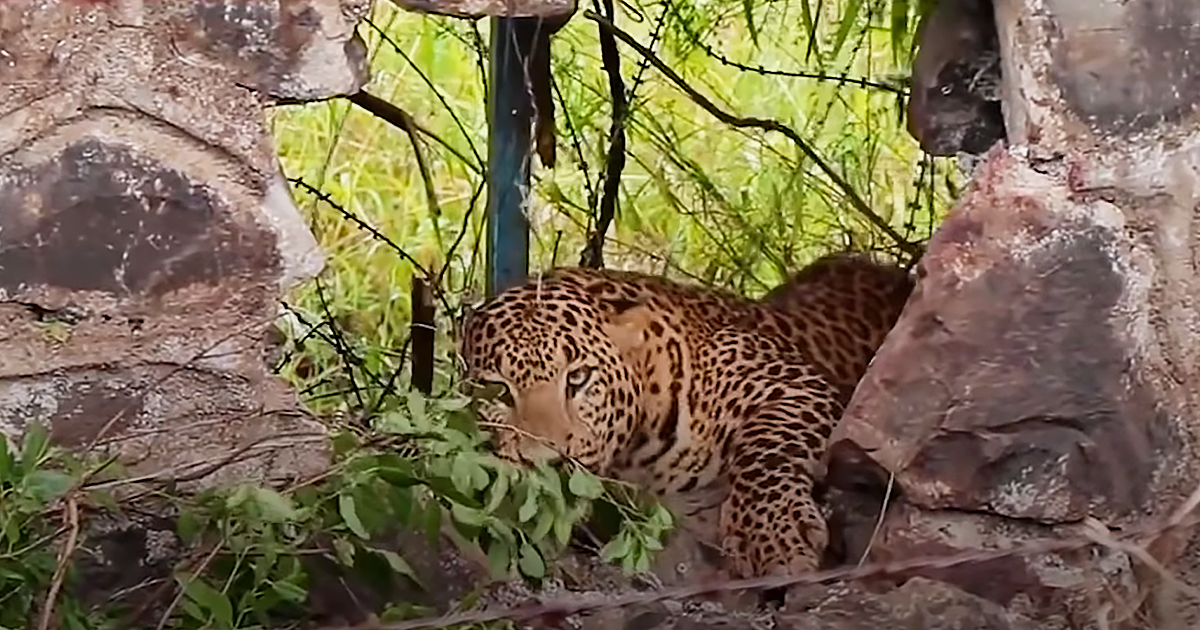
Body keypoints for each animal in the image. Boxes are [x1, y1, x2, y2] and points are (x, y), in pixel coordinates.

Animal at [457, 252, 915, 582]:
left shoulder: (790, 382)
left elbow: (767, 446)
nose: (546, 463)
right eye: (499, 390)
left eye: (578, 378)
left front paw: (772, 538)